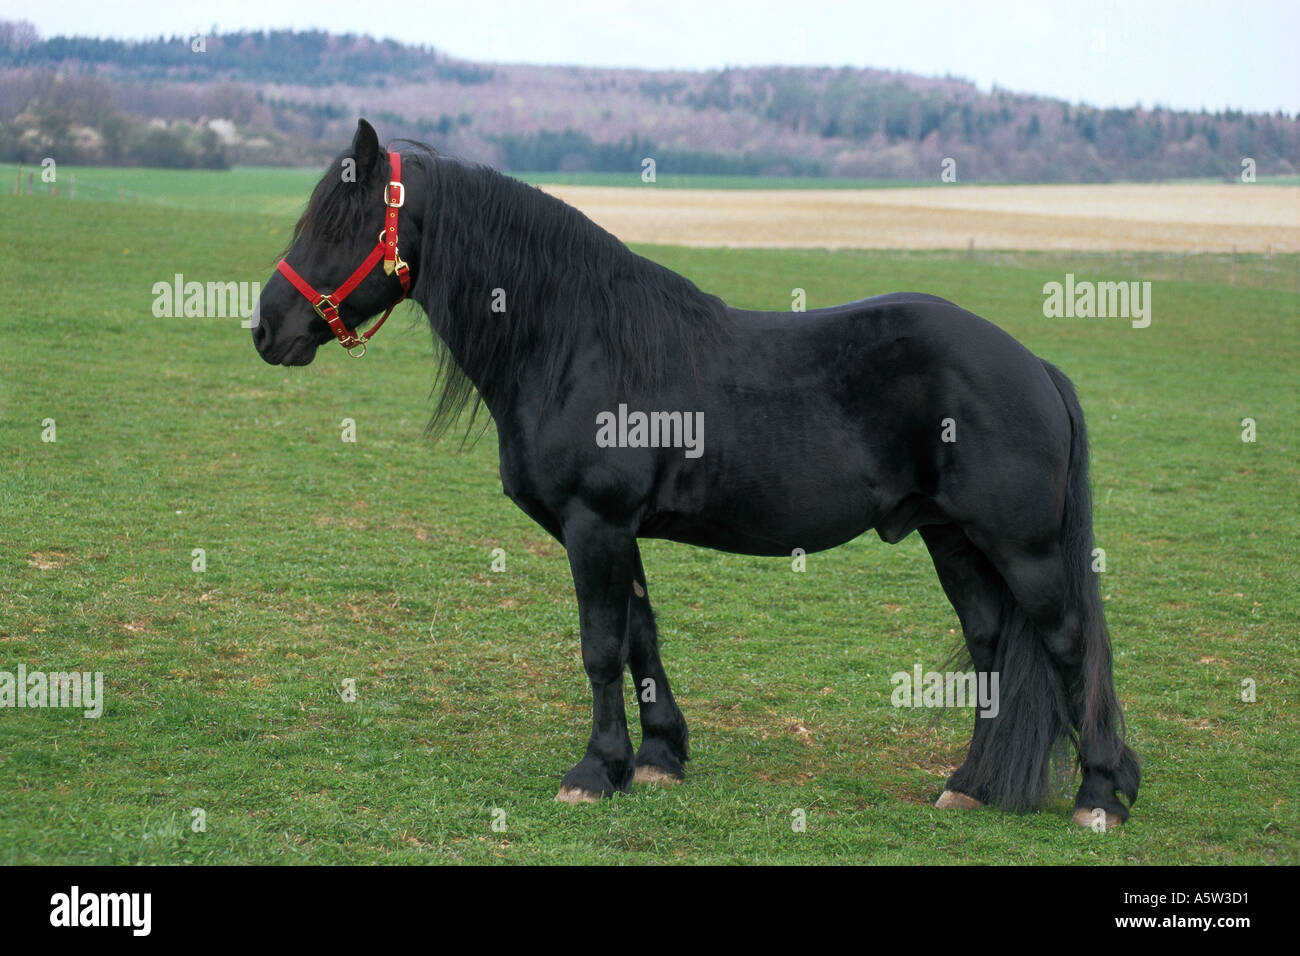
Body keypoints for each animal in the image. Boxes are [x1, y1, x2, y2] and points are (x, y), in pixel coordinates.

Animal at [253, 119, 1140, 827]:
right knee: (991, 644)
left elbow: (601, 647)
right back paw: (971, 784)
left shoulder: (595, 526)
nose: (266, 326)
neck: (577, 341)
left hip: (1021, 547)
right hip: (951, 537)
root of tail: (1034, 366)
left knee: (1067, 642)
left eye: (344, 221)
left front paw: (594, 771)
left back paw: (1098, 795)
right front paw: (657, 758)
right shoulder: (617, 531)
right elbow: (642, 636)